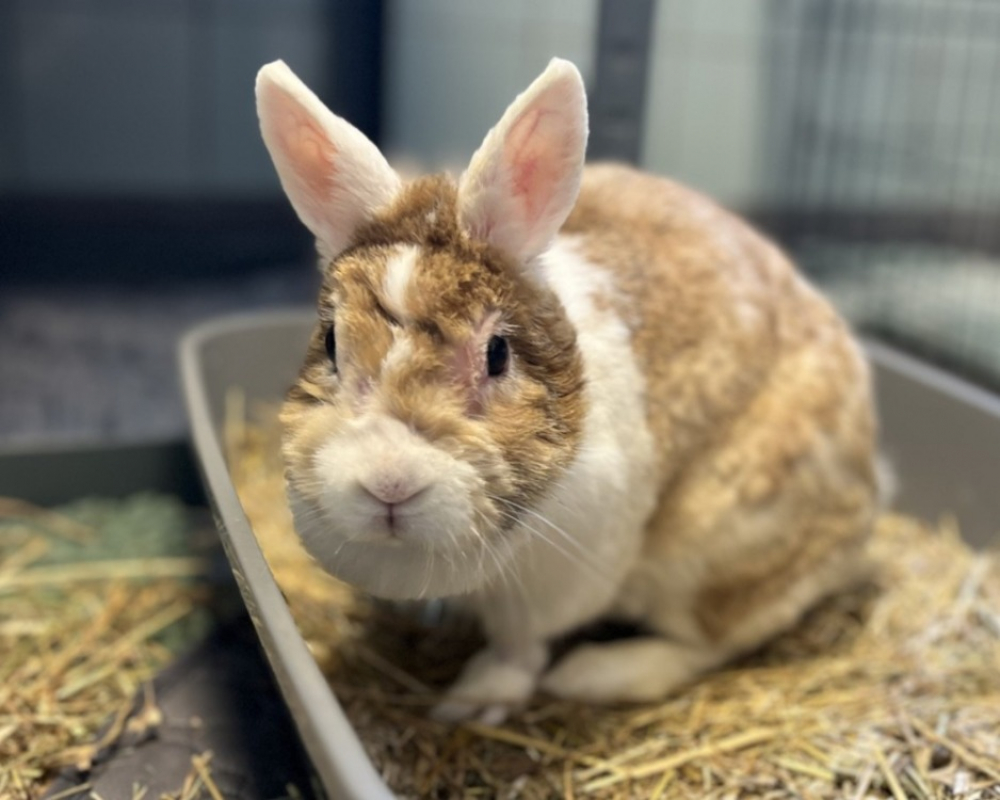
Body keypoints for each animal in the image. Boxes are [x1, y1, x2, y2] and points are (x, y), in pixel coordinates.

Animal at [256, 57, 880, 723]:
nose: (389, 484)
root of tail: (867, 503)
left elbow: (519, 647)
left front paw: (472, 704)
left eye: (497, 354)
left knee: (707, 642)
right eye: (330, 343)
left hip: (713, 553)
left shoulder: (554, 582)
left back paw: (595, 675)